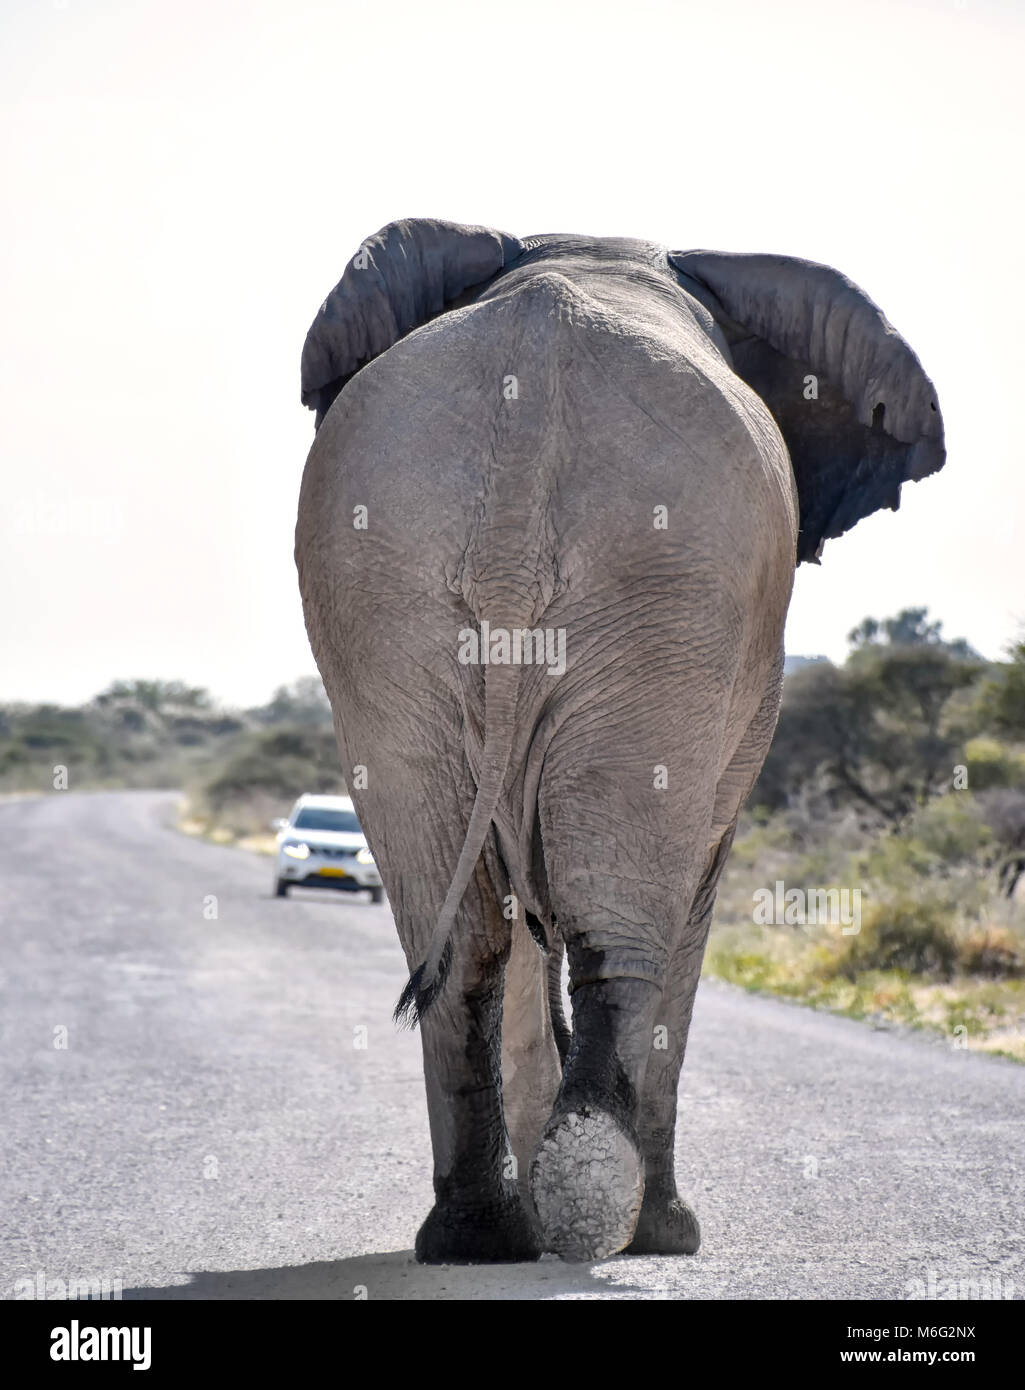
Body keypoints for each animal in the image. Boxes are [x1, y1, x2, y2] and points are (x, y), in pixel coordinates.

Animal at [295, 218, 945, 1263]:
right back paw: (601, 1210)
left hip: (381, 584)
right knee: (627, 927)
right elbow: (691, 896)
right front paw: (666, 1235)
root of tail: (527, 394)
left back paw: (480, 1235)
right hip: (666, 582)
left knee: (459, 929)